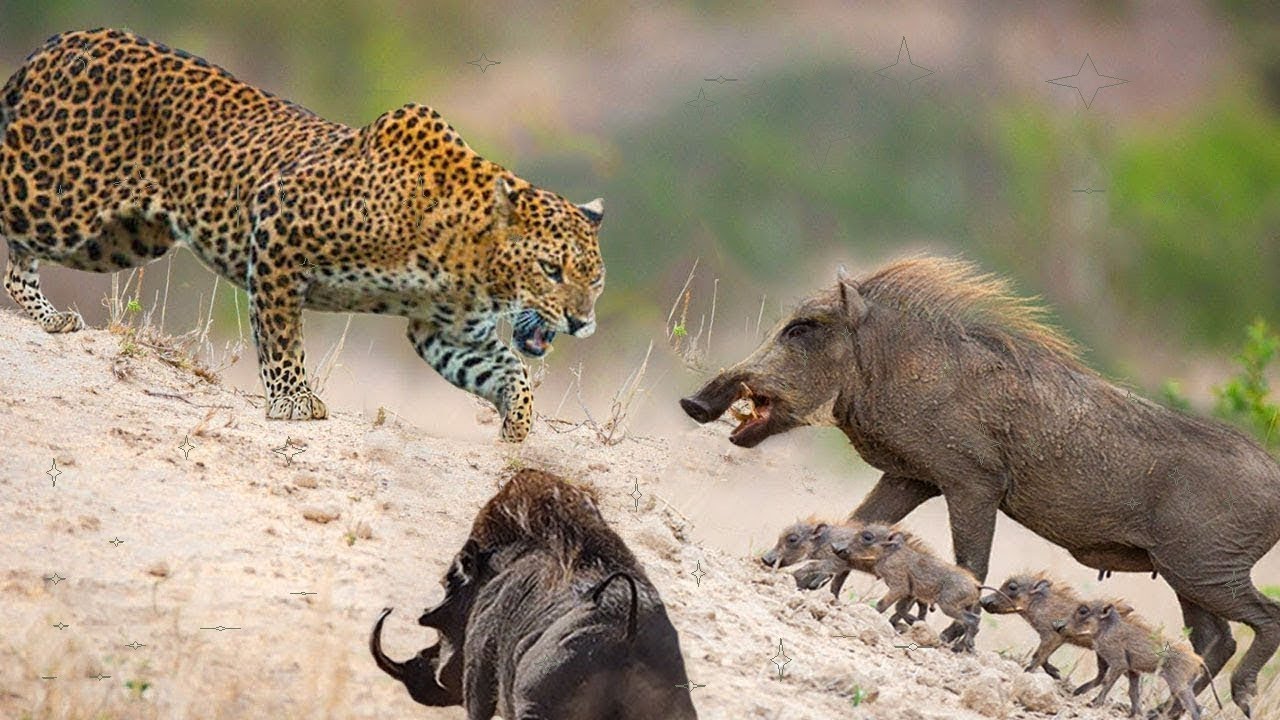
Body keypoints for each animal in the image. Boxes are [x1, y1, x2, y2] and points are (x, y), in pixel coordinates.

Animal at [0, 28, 606, 442]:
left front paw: (517, 424)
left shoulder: (445, 331)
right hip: (56, 198)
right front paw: (292, 401)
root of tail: (60, 41)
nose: (581, 322)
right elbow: (281, 333)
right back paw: (45, 315)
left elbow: (509, 368)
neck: (472, 258)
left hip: (119, 238)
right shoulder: (278, 225)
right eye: (551, 270)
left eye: (594, 282)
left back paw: (47, 317)